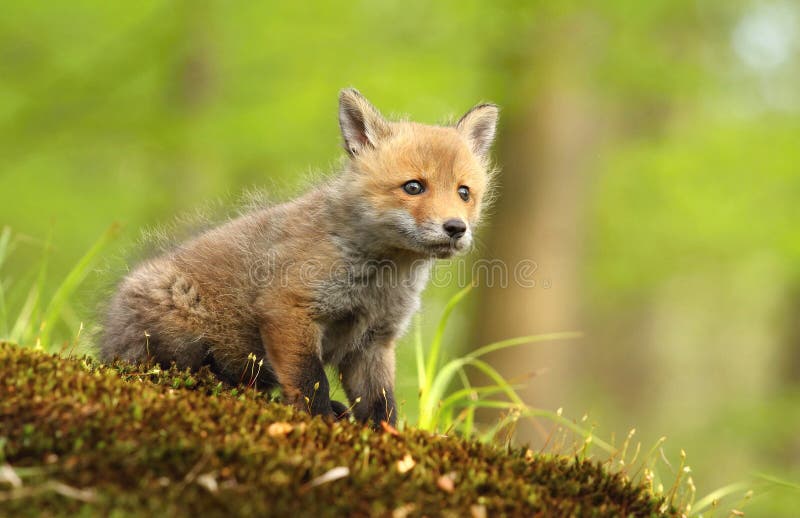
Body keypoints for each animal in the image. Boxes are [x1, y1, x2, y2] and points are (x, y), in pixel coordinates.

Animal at [100, 88, 499, 427]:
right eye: (414, 187)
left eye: (464, 193)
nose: (456, 228)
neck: (379, 279)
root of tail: (106, 338)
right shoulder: (289, 308)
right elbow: (311, 379)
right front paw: (319, 419)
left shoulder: (375, 340)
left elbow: (380, 403)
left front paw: (385, 435)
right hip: (182, 325)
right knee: (181, 370)